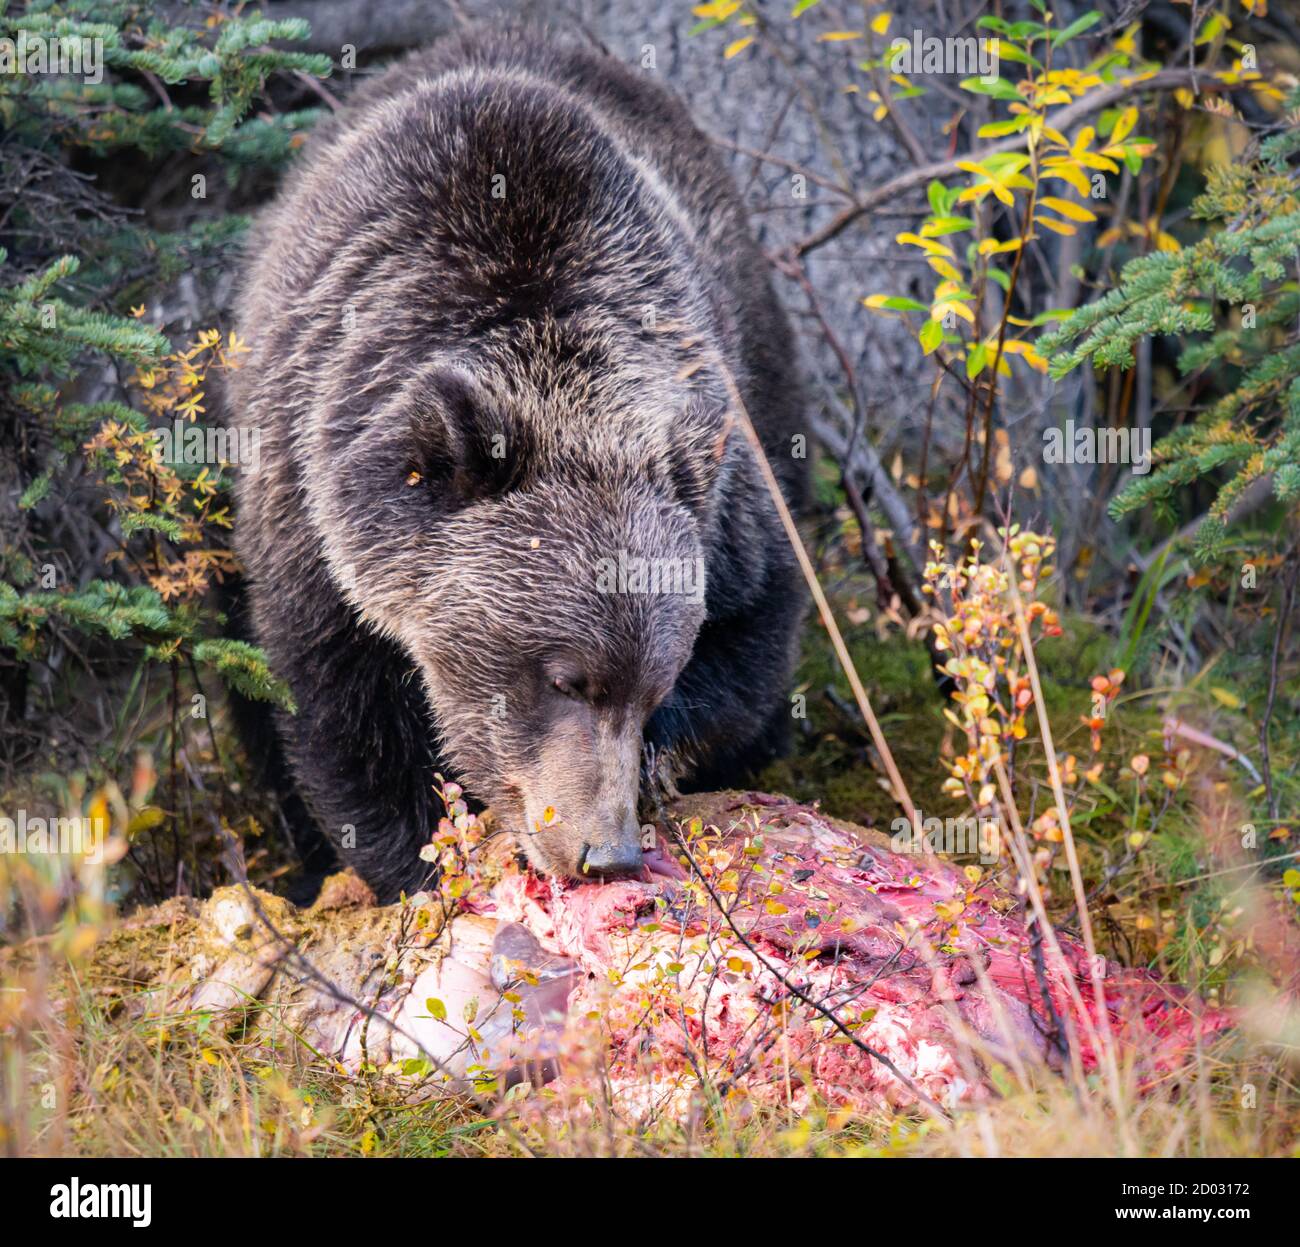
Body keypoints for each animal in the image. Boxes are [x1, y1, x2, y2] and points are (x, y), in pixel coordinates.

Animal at [231, 24, 808, 902]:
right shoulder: (309, 498)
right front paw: (418, 861)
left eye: (657, 680)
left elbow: (755, 632)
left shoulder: (723, 500)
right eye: (564, 676)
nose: (607, 851)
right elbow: (337, 704)